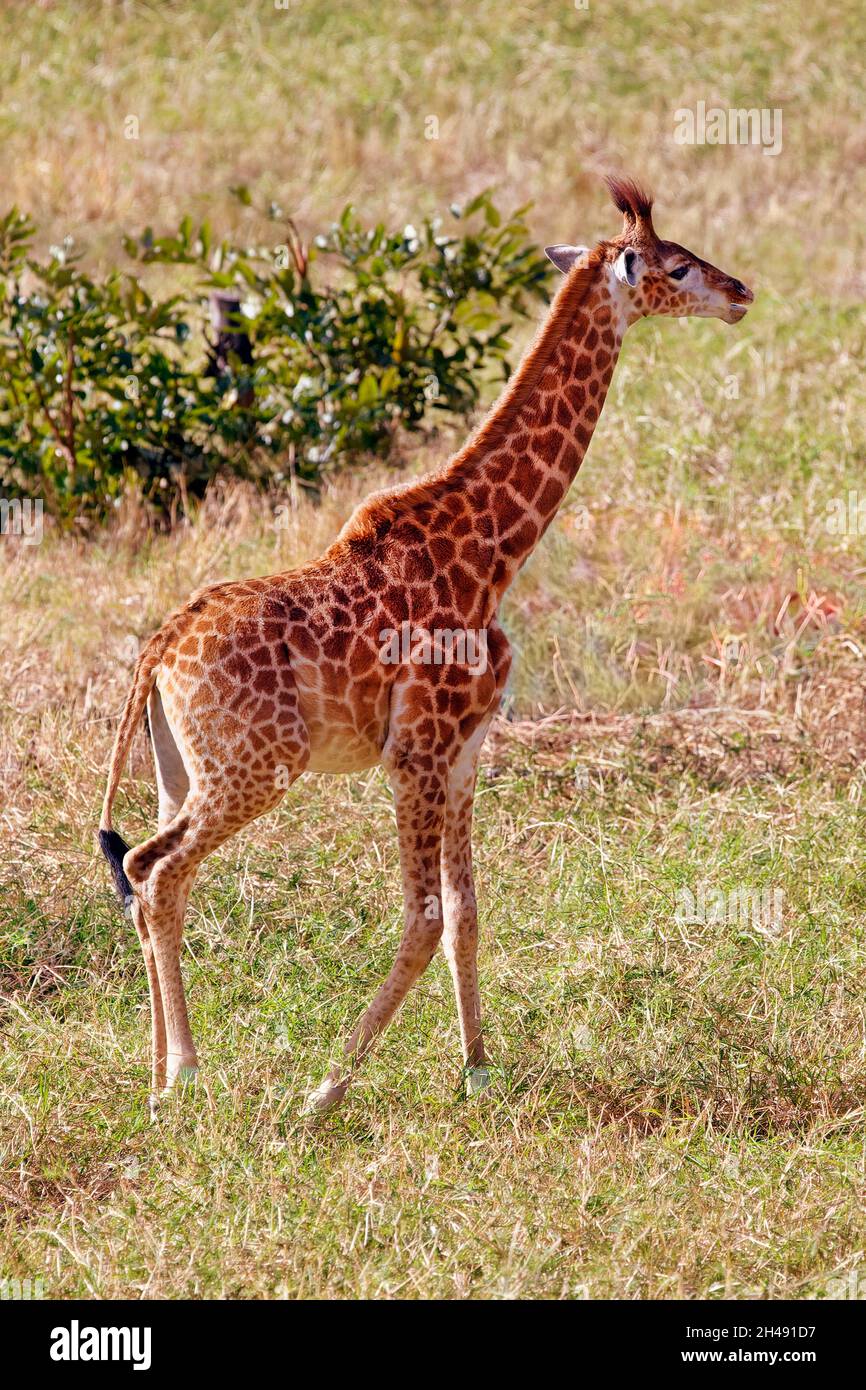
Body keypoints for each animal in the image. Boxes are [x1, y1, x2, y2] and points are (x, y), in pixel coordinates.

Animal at [99, 176, 753, 1115]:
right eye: (676, 264)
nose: (741, 293)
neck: (494, 551)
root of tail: (157, 654)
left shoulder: (467, 751)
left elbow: (467, 915)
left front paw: (477, 1070)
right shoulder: (416, 750)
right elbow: (424, 917)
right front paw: (324, 1092)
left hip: (177, 770)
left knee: (148, 876)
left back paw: (158, 1080)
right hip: (256, 769)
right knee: (156, 872)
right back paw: (186, 1072)